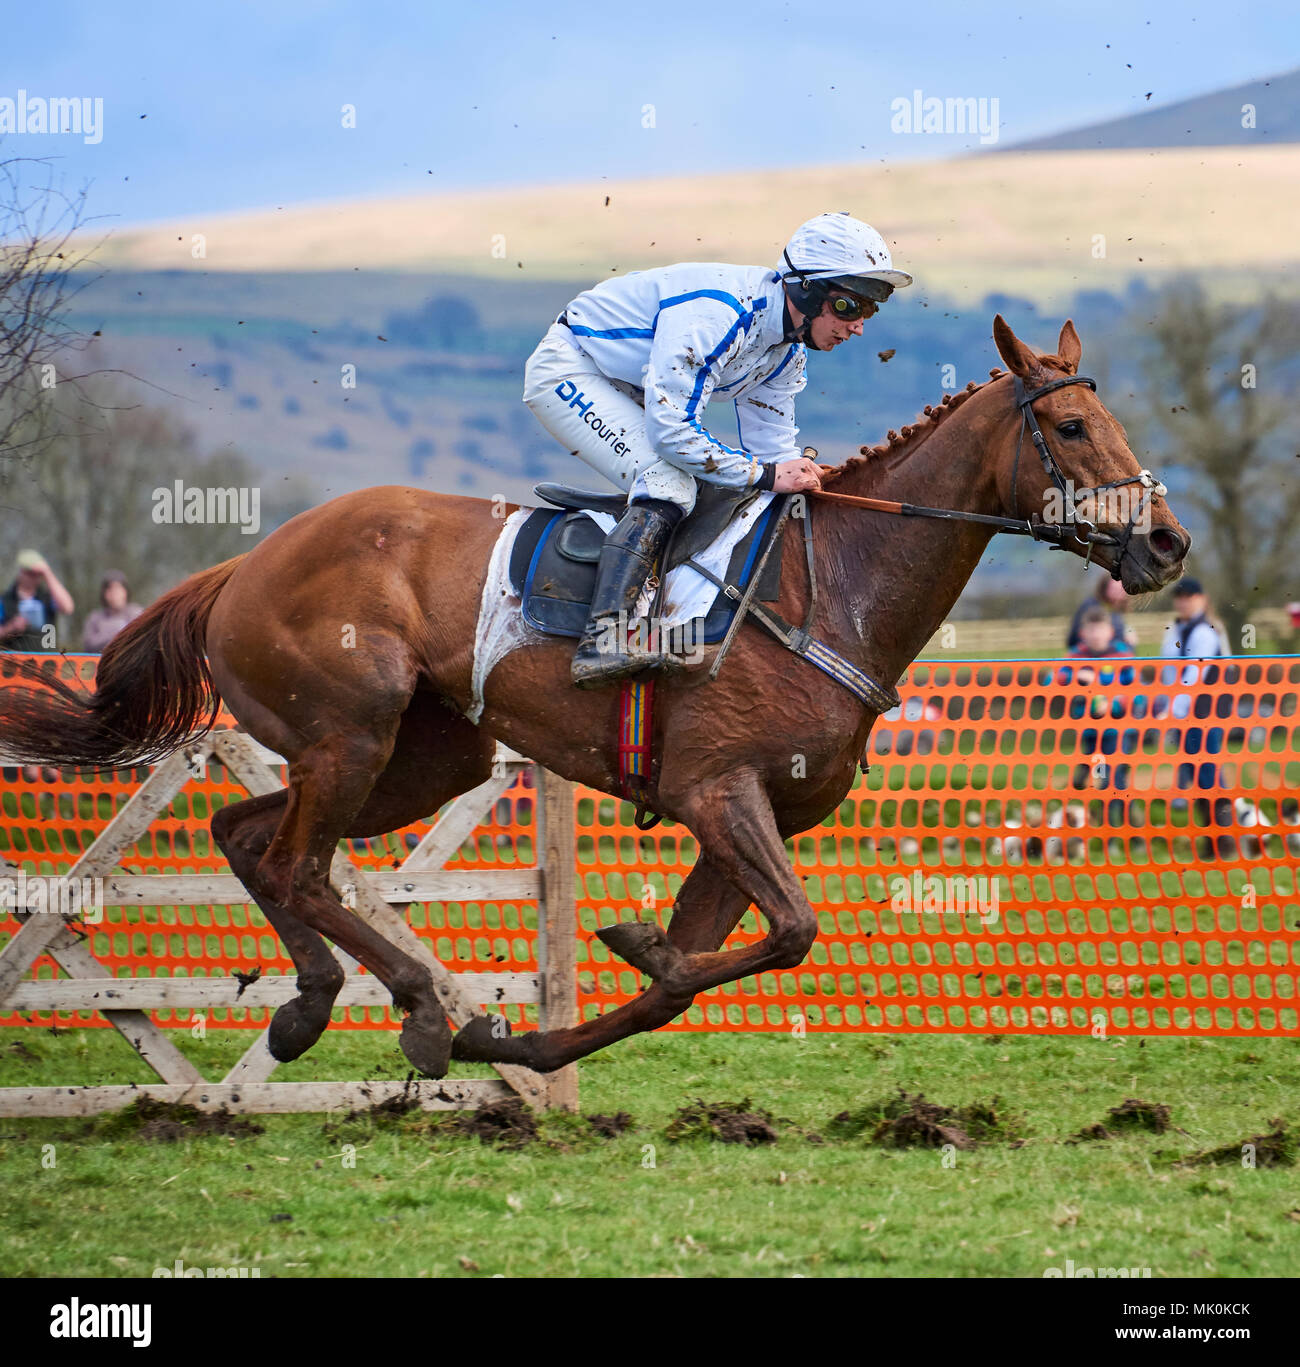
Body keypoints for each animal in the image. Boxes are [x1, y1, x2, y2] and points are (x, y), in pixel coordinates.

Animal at [0, 316, 1190, 1079]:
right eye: (1072, 429)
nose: (1167, 544)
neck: (833, 584)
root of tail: (240, 564)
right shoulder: (718, 790)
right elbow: (786, 931)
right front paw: (612, 951)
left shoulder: (747, 815)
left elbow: (693, 976)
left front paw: (523, 1036)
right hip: (351, 733)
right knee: (293, 859)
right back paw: (414, 1006)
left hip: (425, 756)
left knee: (249, 833)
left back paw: (313, 1005)